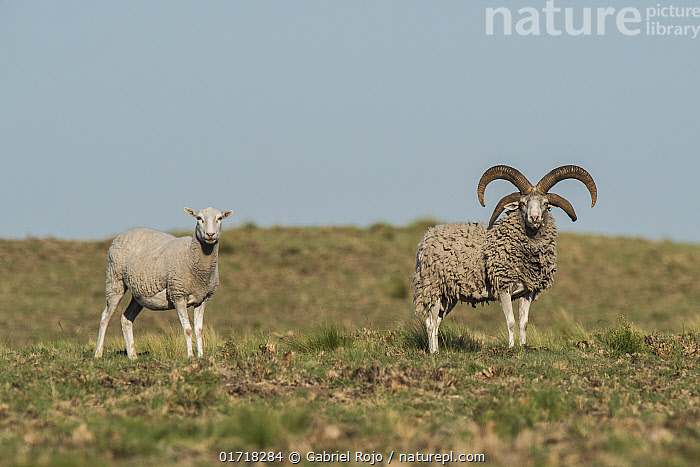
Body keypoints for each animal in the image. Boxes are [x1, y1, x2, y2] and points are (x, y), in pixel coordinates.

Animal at [94, 207, 234, 359]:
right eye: (199, 218)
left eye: (219, 218)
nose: (210, 234)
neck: (192, 258)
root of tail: (124, 233)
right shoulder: (178, 295)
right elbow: (188, 330)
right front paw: (190, 356)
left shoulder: (204, 299)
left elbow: (199, 330)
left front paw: (201, 356)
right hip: (114, 279)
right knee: (105, 317)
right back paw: (98, 353)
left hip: (139, 295)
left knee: (126, 318)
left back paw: (133, 356)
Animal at [412, 165, 596, 353]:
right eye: (522, 203)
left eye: (545, 203)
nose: (534, 218)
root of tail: (429, 234)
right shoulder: (503, 288)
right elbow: (511, 322)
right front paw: (511, 348)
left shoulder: (527, 291)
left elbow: (523, 323)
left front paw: (523, 347)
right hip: (432, 289)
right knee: (430, 322)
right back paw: (433, 352)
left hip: (449, 295)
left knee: (437, 322)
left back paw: (437, 350)